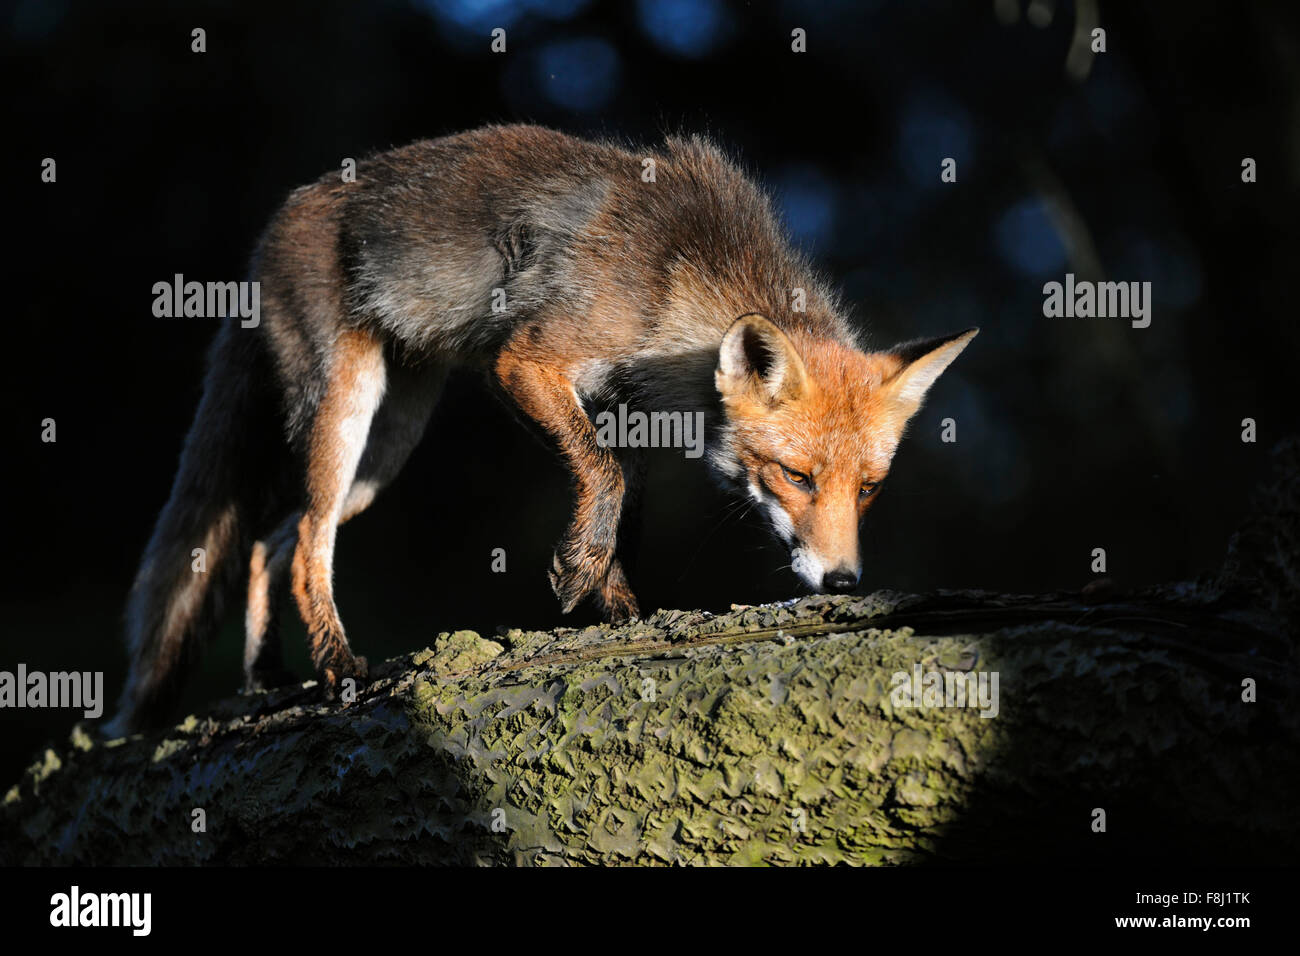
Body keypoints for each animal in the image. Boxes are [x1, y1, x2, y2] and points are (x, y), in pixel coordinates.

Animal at [105, 124, 976, 735]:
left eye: (869, 490)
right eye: (796, 477)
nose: (844, 582)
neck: (672, 278)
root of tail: (272, 228)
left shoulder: (627, 407)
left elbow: (620, 507)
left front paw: (621, 611)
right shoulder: (524, 362)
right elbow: (603, 478)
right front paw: (579, 575)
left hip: (386, 448)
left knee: (270, 540)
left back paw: (269, 677)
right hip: (346, 415)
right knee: (304, 543)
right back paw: (339, 664)